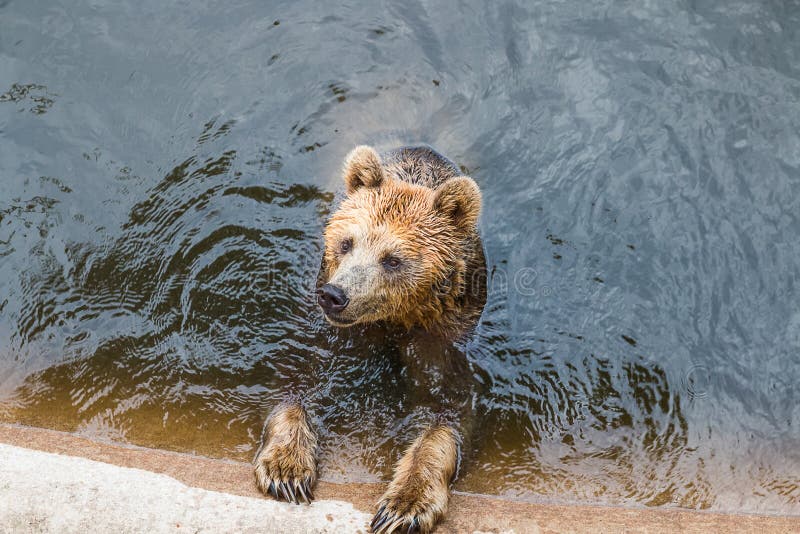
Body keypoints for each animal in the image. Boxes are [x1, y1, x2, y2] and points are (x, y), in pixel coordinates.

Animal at [254, 145, 487, 533]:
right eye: (347, 243)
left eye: (392, 260)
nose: (335, 295)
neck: (395, 319)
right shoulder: (330, 329)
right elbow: (296, 377)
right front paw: (285, 468)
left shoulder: (444, 332)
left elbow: (447, 411)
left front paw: (405, 505)